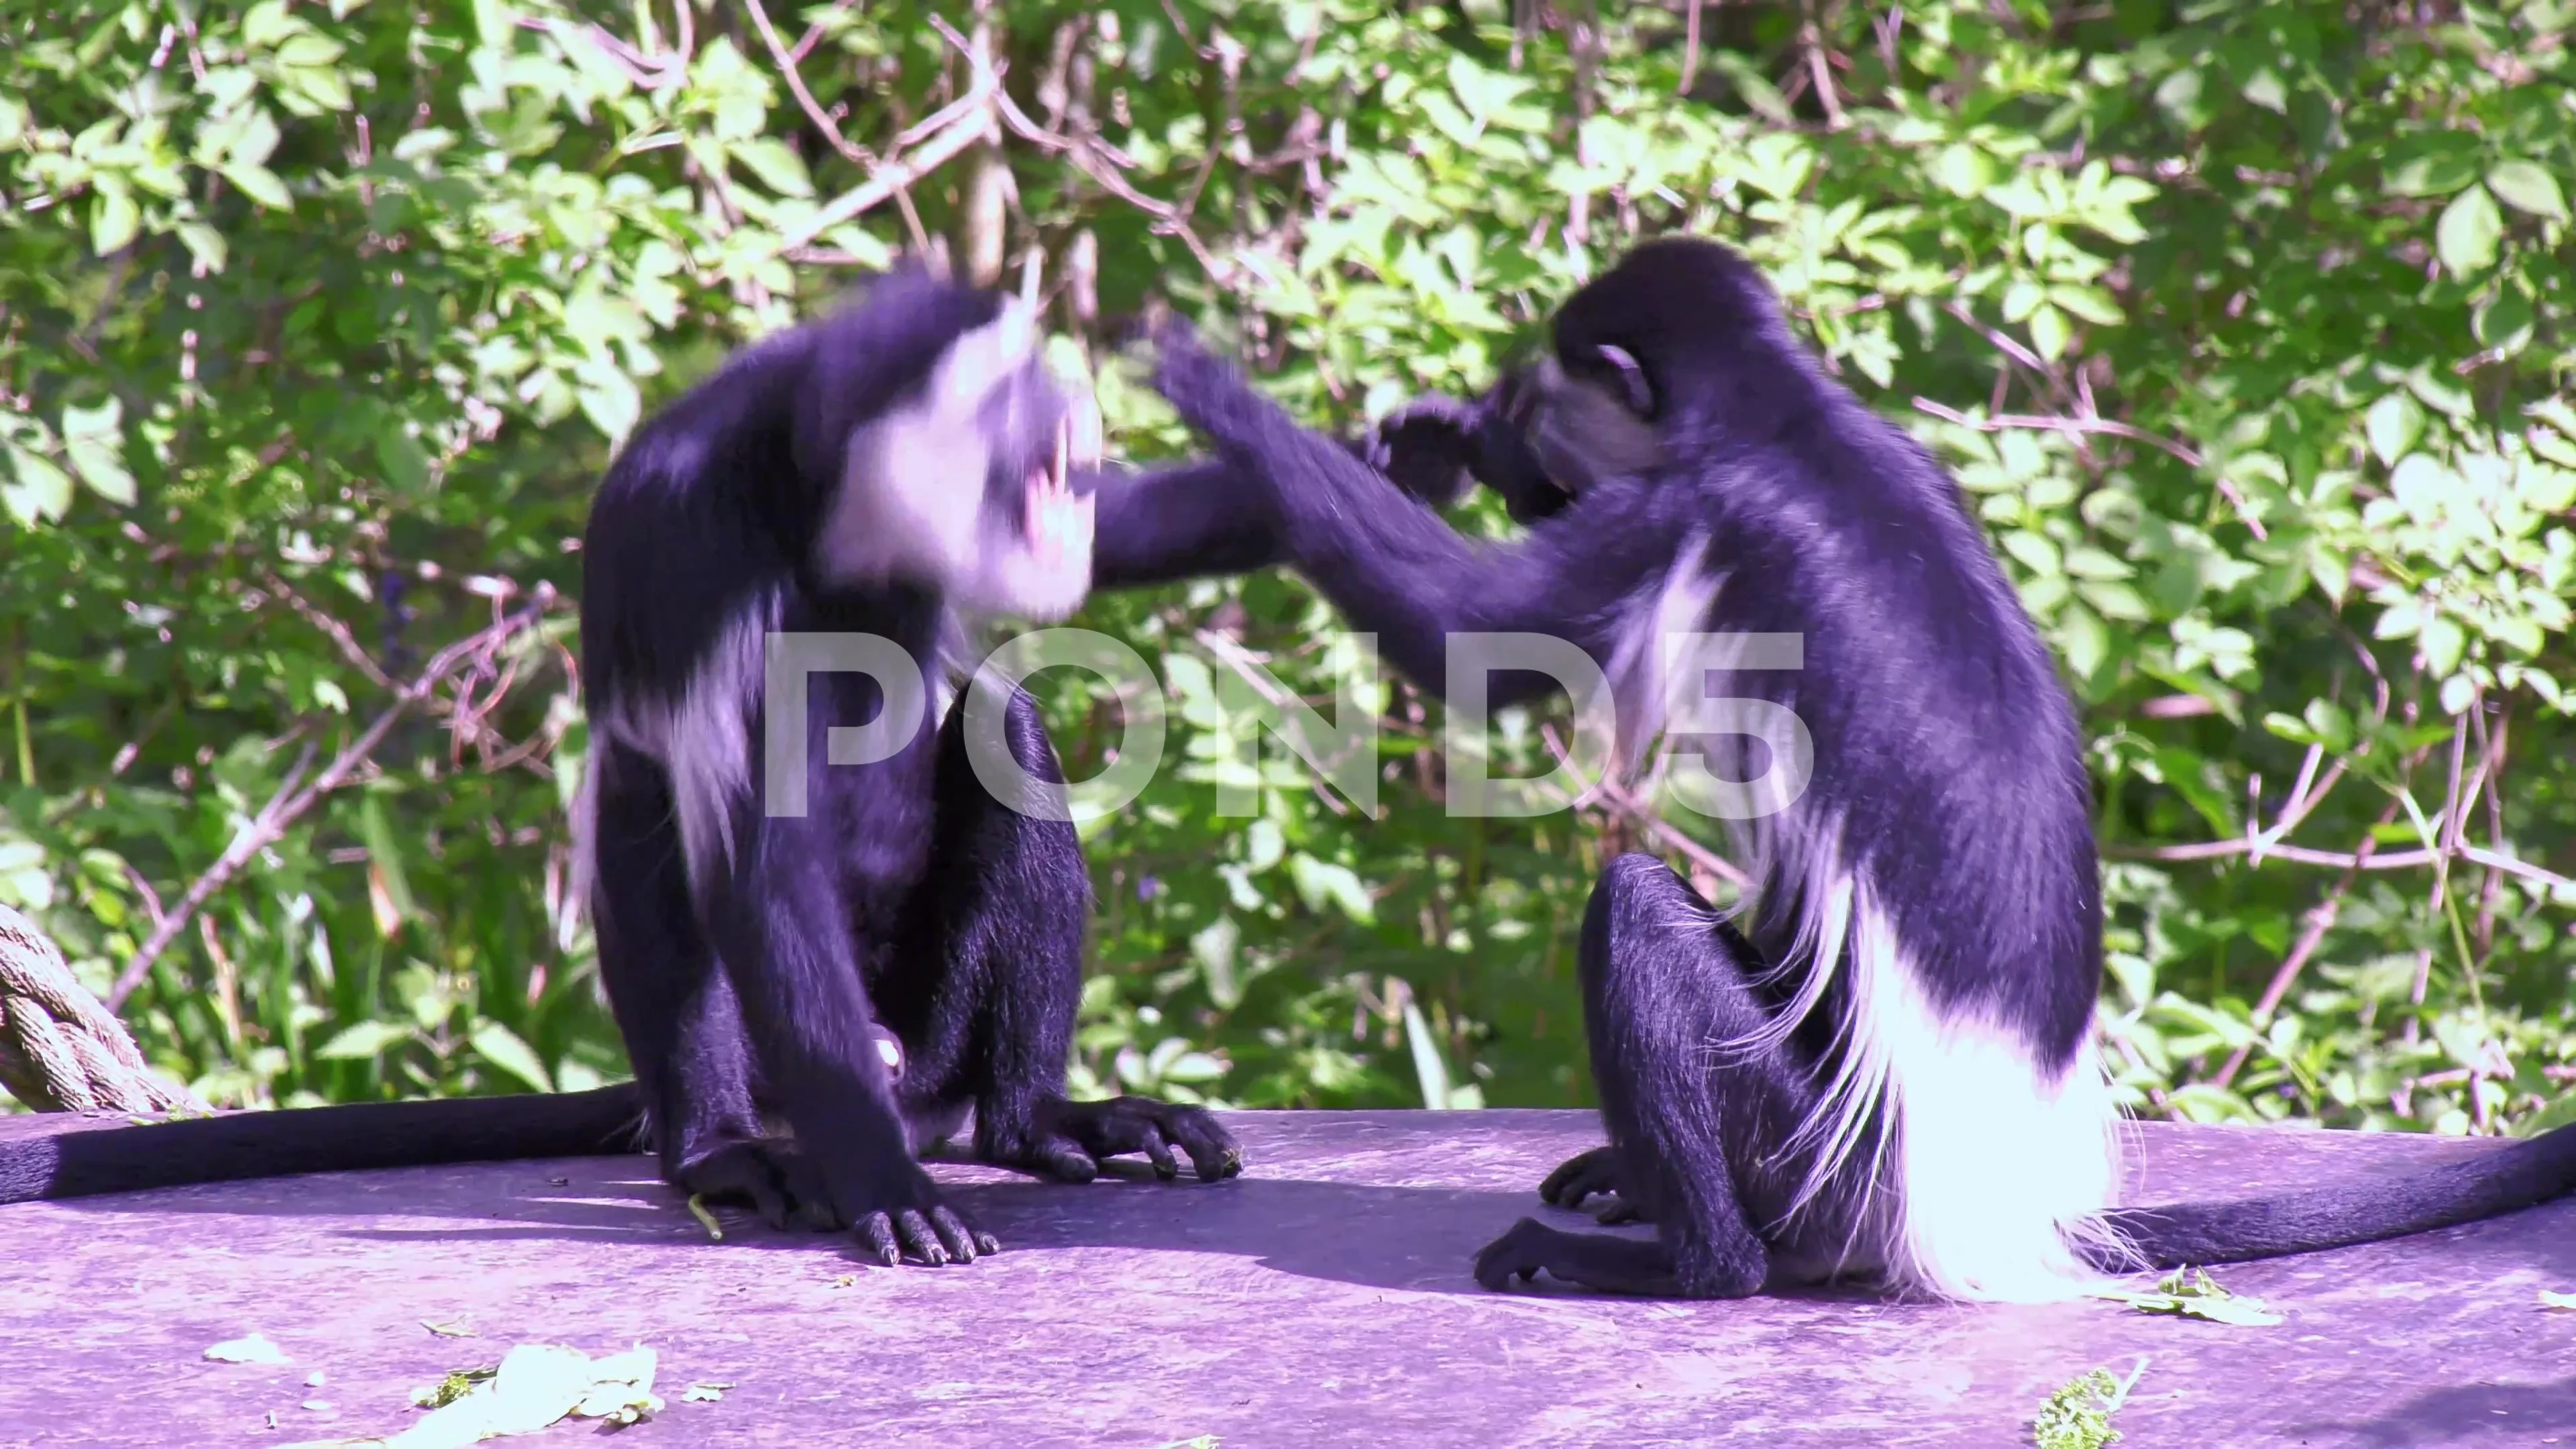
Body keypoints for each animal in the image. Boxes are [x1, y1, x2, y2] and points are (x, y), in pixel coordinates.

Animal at [1, 268, 1245, 1266]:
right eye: (1021, 440)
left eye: (1059, 455)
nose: (1071, 455)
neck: (813, 498)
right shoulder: (700, 554)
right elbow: (753, 855)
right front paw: (883, 1189)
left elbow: (1119, 546)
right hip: (795, 1055)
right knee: (656, 831)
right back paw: (724, 1154)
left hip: (930, 1022)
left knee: (1007, 731)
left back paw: (1037, 1121)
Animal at [1131, 233, 2576, 1301]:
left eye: (1540, 406)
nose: (1496, 436)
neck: (1789, 422)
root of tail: (1975, 1212)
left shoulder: (1684, 514)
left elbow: (1479, 648)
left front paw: (1213, 390)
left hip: (1818, 1154)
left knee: (1639, 915)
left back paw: (1685, 1263)